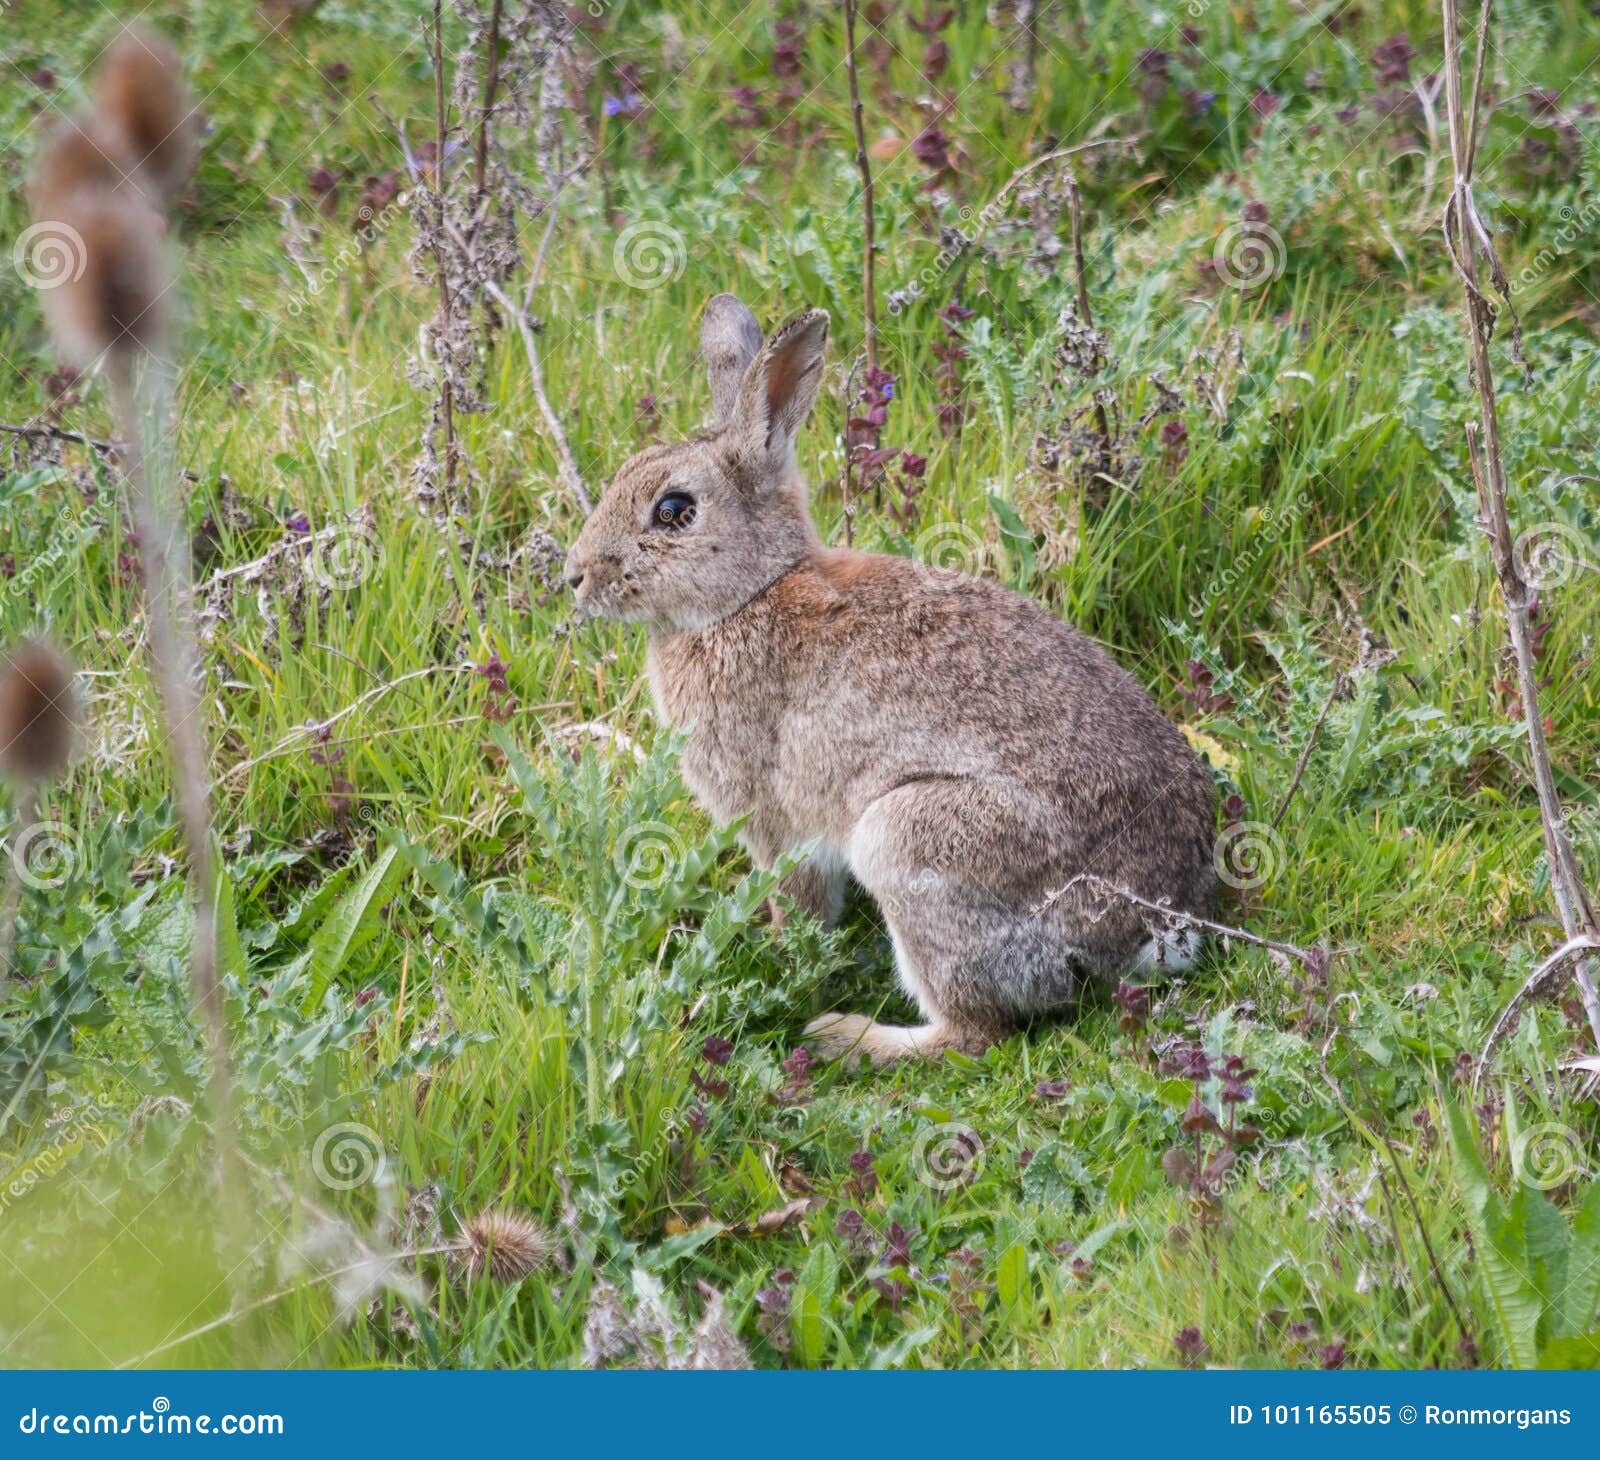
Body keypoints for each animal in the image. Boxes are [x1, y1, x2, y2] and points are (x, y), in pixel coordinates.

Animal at [564, 294, 1217, 1064]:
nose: (574, 575)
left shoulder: (776, 819)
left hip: (907, 839)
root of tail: (1158, 927)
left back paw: (844, 1038)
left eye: (673, 511)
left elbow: (800, 905)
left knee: (977, 1034)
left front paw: (783, 959)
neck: (748, 594)